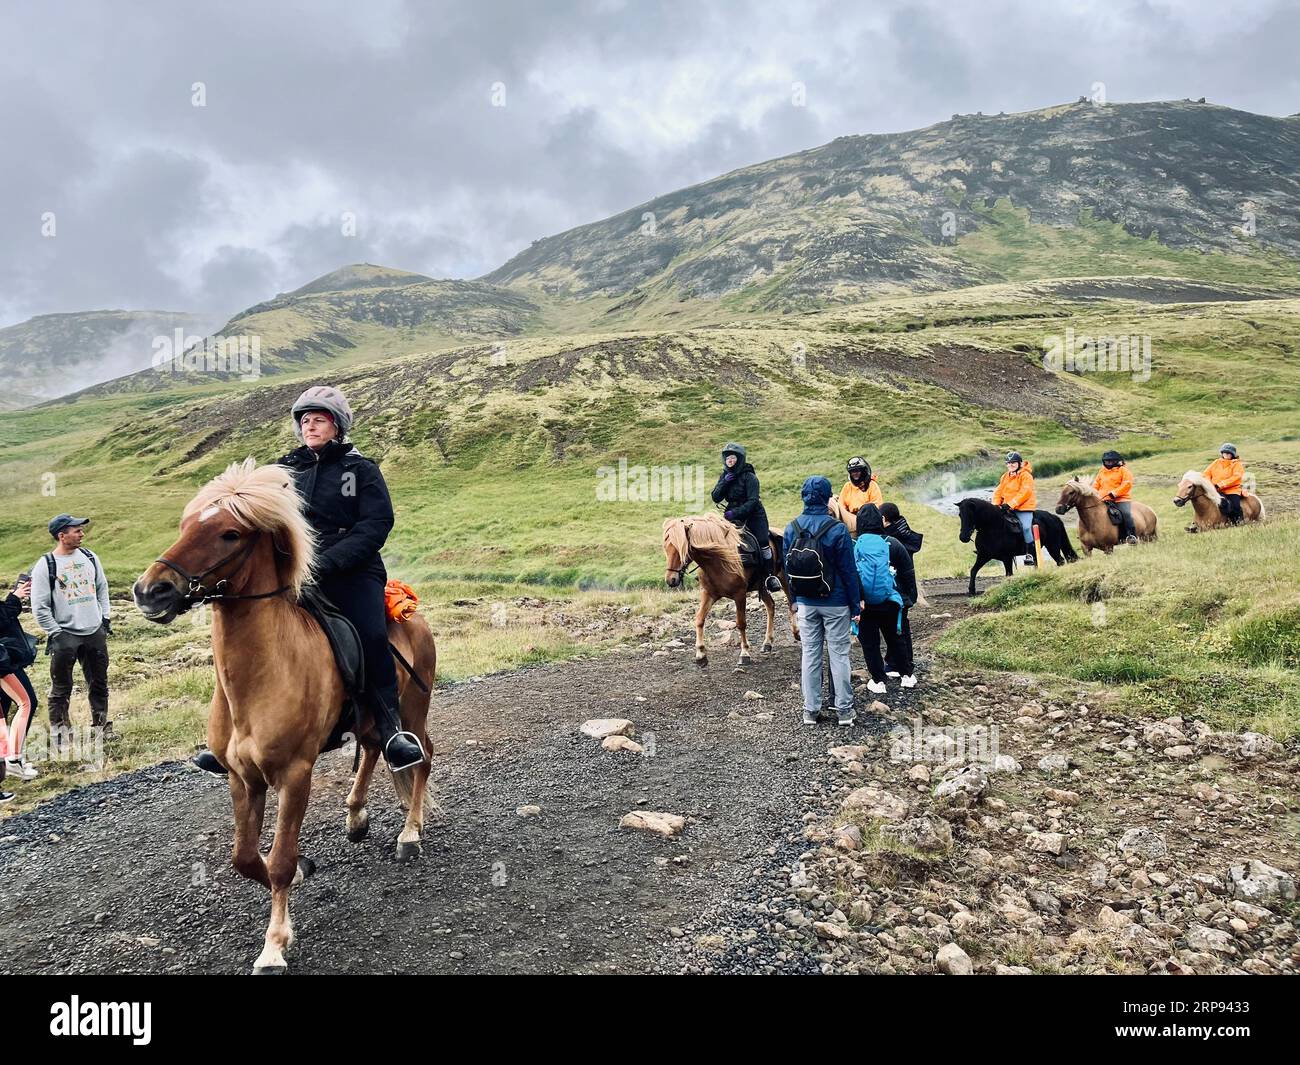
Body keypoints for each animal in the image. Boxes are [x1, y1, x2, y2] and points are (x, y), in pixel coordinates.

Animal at [132, 459, 437, 974]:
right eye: (186, 525)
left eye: (230, 533)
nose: (151, 591)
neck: (259, 677)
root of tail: (412, 613)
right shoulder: (242, 778)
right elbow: (245, 857)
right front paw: (304, 870)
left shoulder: (295, 775)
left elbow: (277, 860)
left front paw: (274, 945)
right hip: (368, 718)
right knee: (375, 747)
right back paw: (356, 816)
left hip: (414, 709)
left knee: (420, 757)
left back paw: (410, 832)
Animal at [663, 514, 796, 665]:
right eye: (666, 548)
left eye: (681, 549)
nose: (671, 580)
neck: (717, 559)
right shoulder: (709, 594)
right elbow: (699, 619)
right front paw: (701, 654)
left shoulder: (740, 595)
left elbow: (741, 623)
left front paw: (744, 653)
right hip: (761, 586)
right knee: (771, 606)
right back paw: (767, 642)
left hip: (785, 580)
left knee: (791, 604)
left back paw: (797, 633)